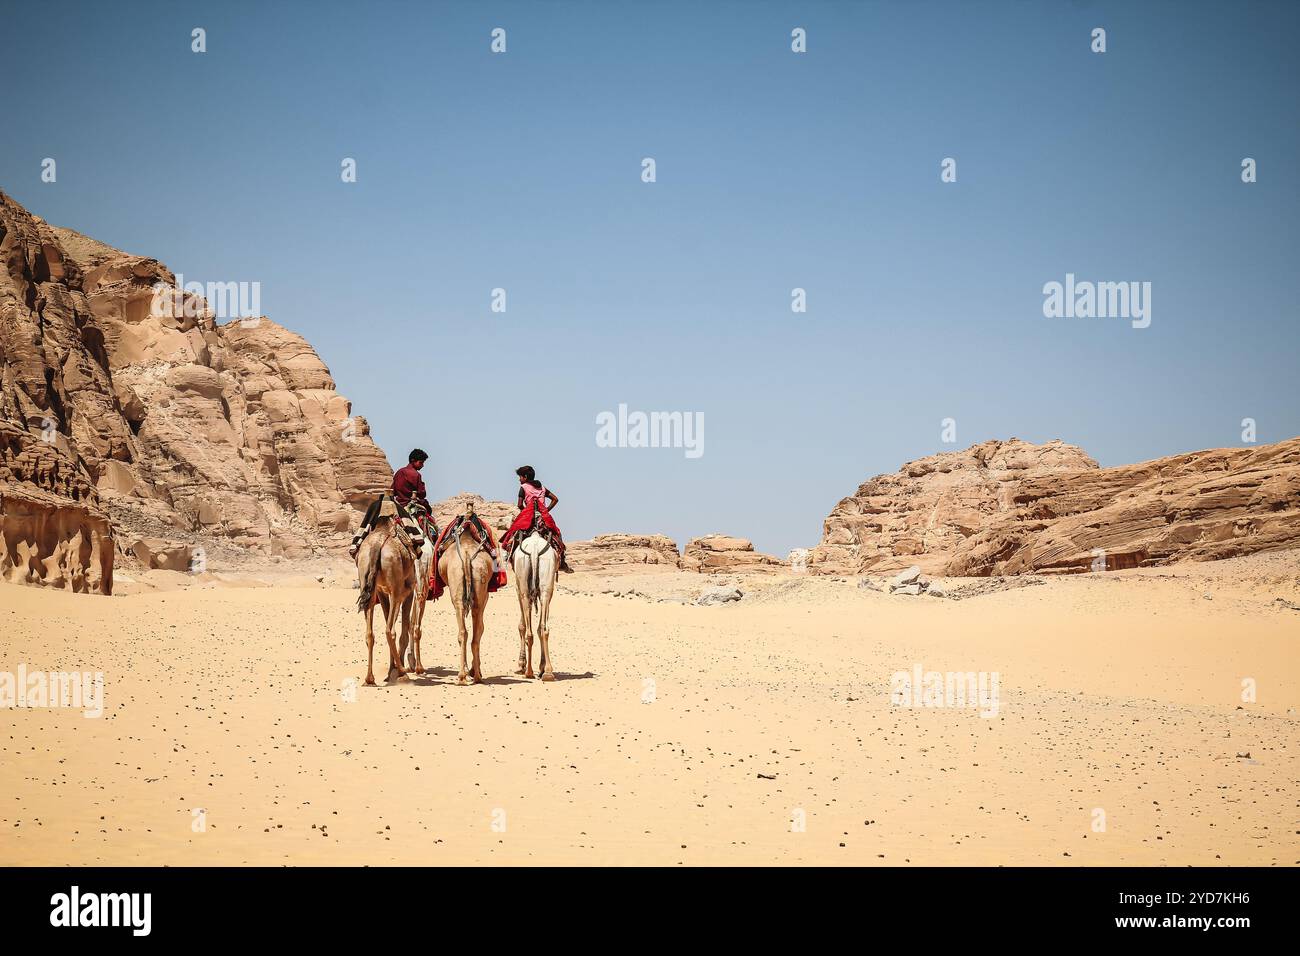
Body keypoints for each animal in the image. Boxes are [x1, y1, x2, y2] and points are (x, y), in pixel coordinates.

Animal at [437, 504, 496, 684]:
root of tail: (468, 554)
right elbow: (481, 628)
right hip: (478, 582)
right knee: (475, 633)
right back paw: (475, 675)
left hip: (457, 588)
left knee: (464, 631)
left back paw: (462, 675)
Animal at [511, 512, 559, 681]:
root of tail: (533, 549)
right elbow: (538, 627)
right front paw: (542, 666)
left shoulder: (518, 589)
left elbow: (521, 625)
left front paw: (521, 664)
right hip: (546, 584)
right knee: (543, 628)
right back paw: (548, 672)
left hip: (524, 586)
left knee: (529, 631)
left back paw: (529, 671)